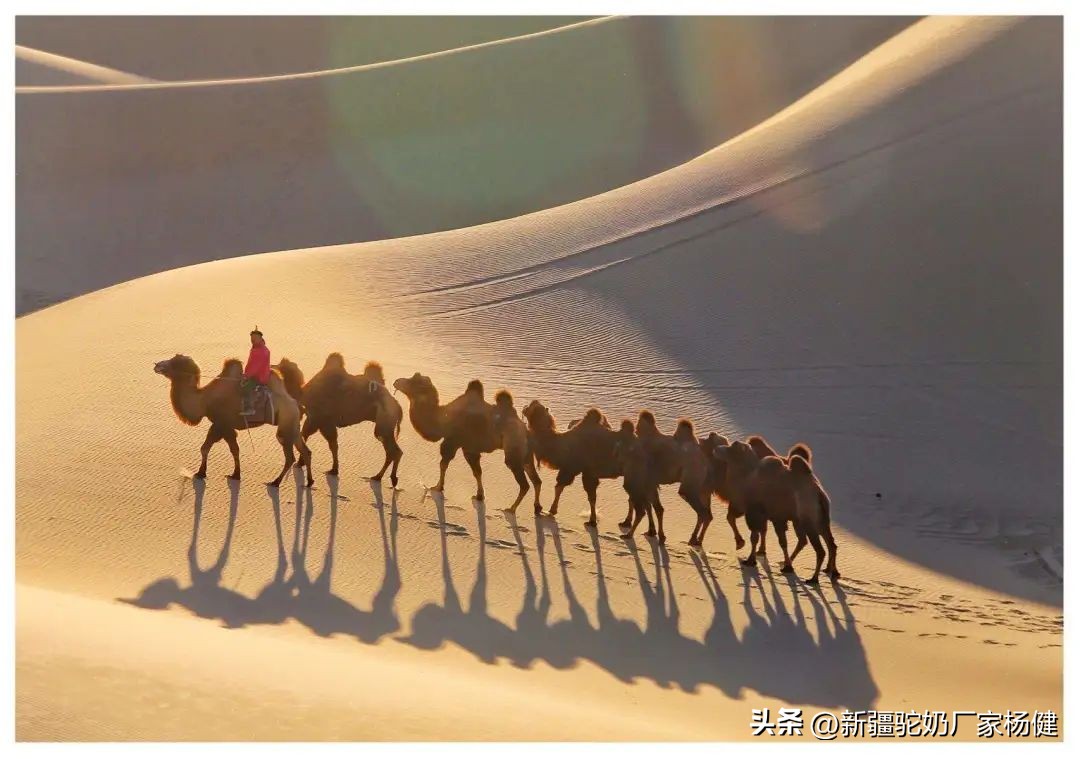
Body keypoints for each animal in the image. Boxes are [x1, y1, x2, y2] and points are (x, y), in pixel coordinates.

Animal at [153, 354, 312, 488]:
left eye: (175, 363)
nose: (157, 365)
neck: (204, 400)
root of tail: (296, 403)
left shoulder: (220, 424)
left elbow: (205, 448)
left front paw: (200, 473)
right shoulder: (225, 426)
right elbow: (234, 449)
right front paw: (235, 474)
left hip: (286, 423)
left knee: (289, 456)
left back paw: (275, 482)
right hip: (293, 425)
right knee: (306, 450)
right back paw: (309, 482)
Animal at [275, 354, 404, 487]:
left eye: (283, 366)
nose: (273, 366)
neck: (305, 393)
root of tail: (398, 407)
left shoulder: (321, 420)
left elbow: (326, 442)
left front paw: (305, 464)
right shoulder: (318, 420)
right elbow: (330, 443)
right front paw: (332, 469)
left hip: (384, 424)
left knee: (393, 451)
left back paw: (387, 478)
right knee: (393, 451)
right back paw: (382, 478)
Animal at [392, 373, 540, 510]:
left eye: (414, 382)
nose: (396, 381)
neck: (442, 419)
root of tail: (526, 430)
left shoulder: (452, 442)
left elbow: (443, 464)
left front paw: (438, 487)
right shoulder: (470, 448)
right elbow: (477, 472)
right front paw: (479, 496)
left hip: (513, 449)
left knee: (524, 484)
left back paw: (511, 508)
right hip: (527, 454)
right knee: (536, 480)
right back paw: (537, 507)